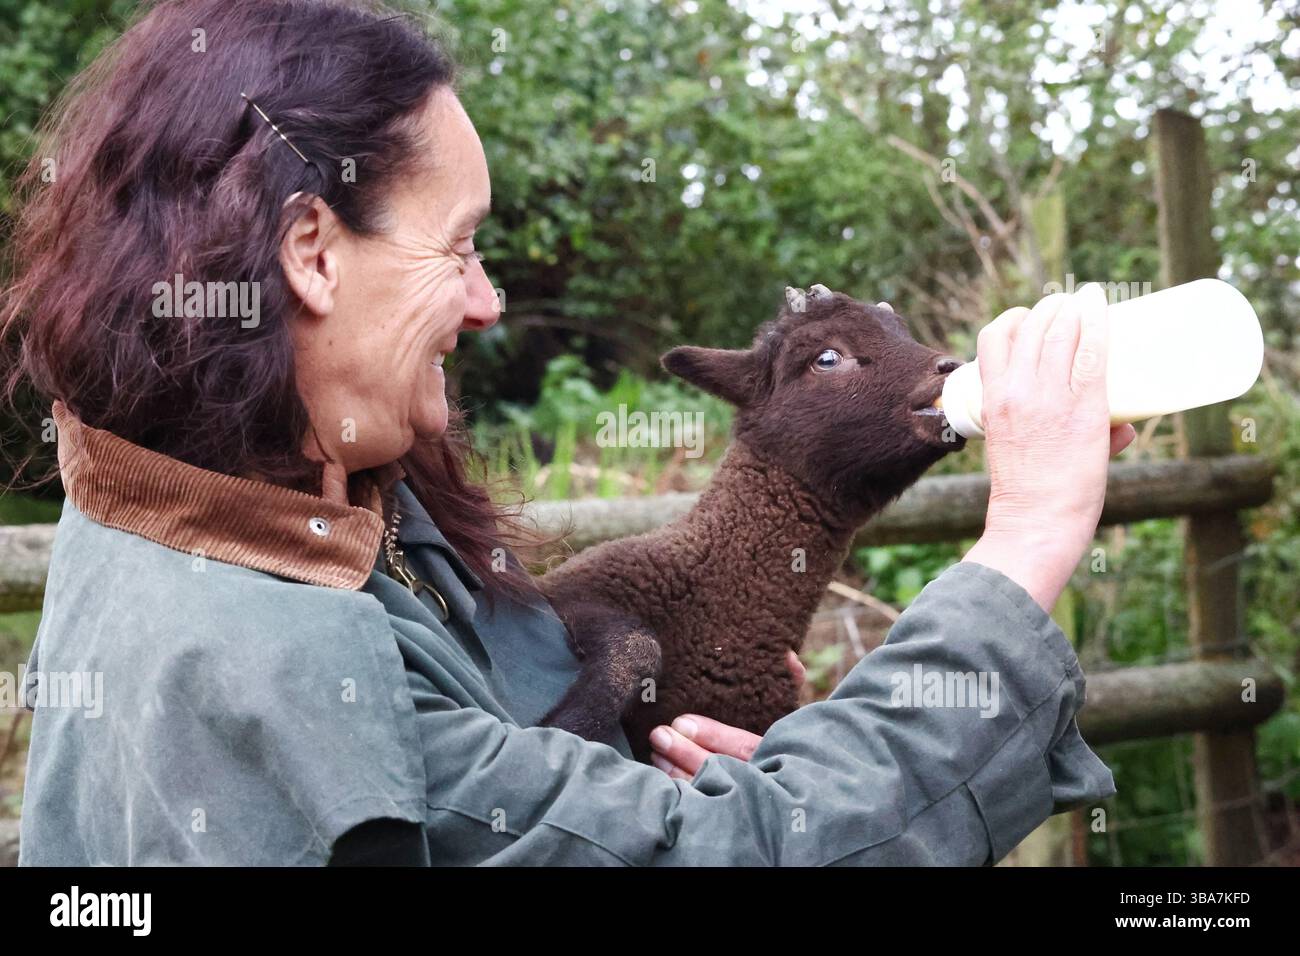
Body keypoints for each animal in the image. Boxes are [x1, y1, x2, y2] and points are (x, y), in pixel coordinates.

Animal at [537, 285, 964, 761]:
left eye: (900, 331)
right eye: (827, 358)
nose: (951, 368)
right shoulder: (571, 589)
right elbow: (638, 648)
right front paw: (568, 727)